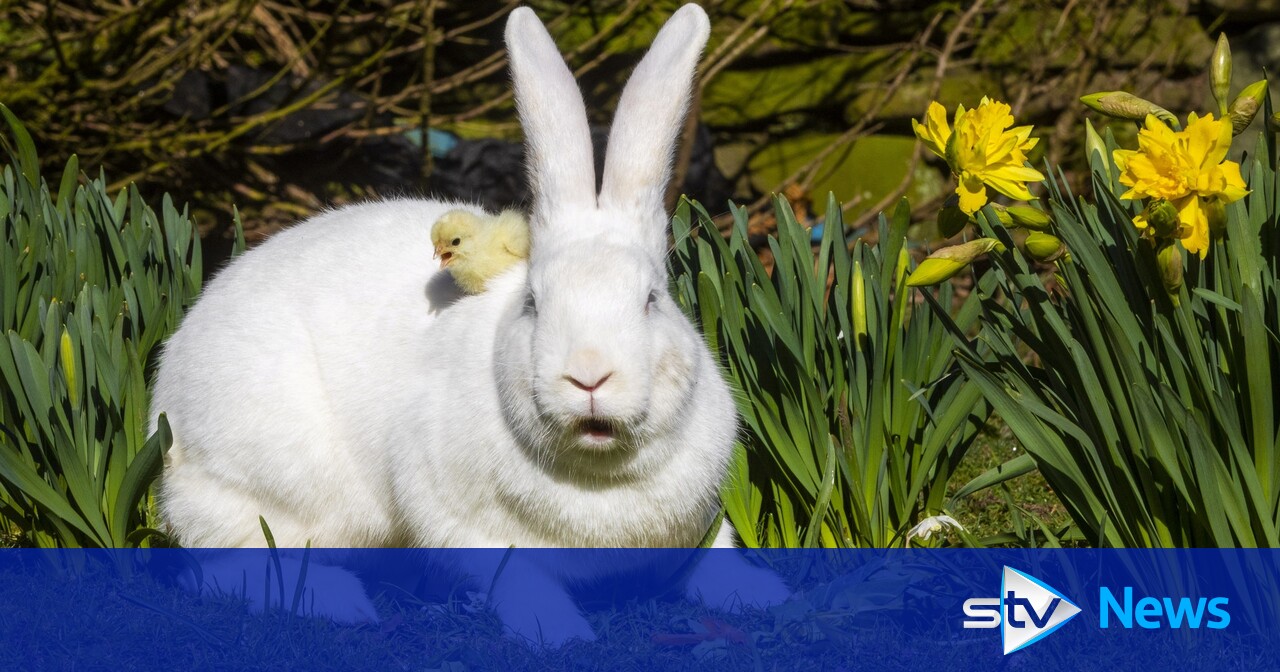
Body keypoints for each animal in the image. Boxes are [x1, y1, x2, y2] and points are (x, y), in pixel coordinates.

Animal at [150, 3, 789, 645]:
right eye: (534, 303)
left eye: (651, 300)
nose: (589, 376)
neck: (599, 471)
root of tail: (167, 397)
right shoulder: (461, 519)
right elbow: (516, 579)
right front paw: (561, 634)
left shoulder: (697, 520)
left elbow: (716, 555)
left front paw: (765, 596)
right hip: (273, 489)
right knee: (232, 567)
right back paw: (343, 604)